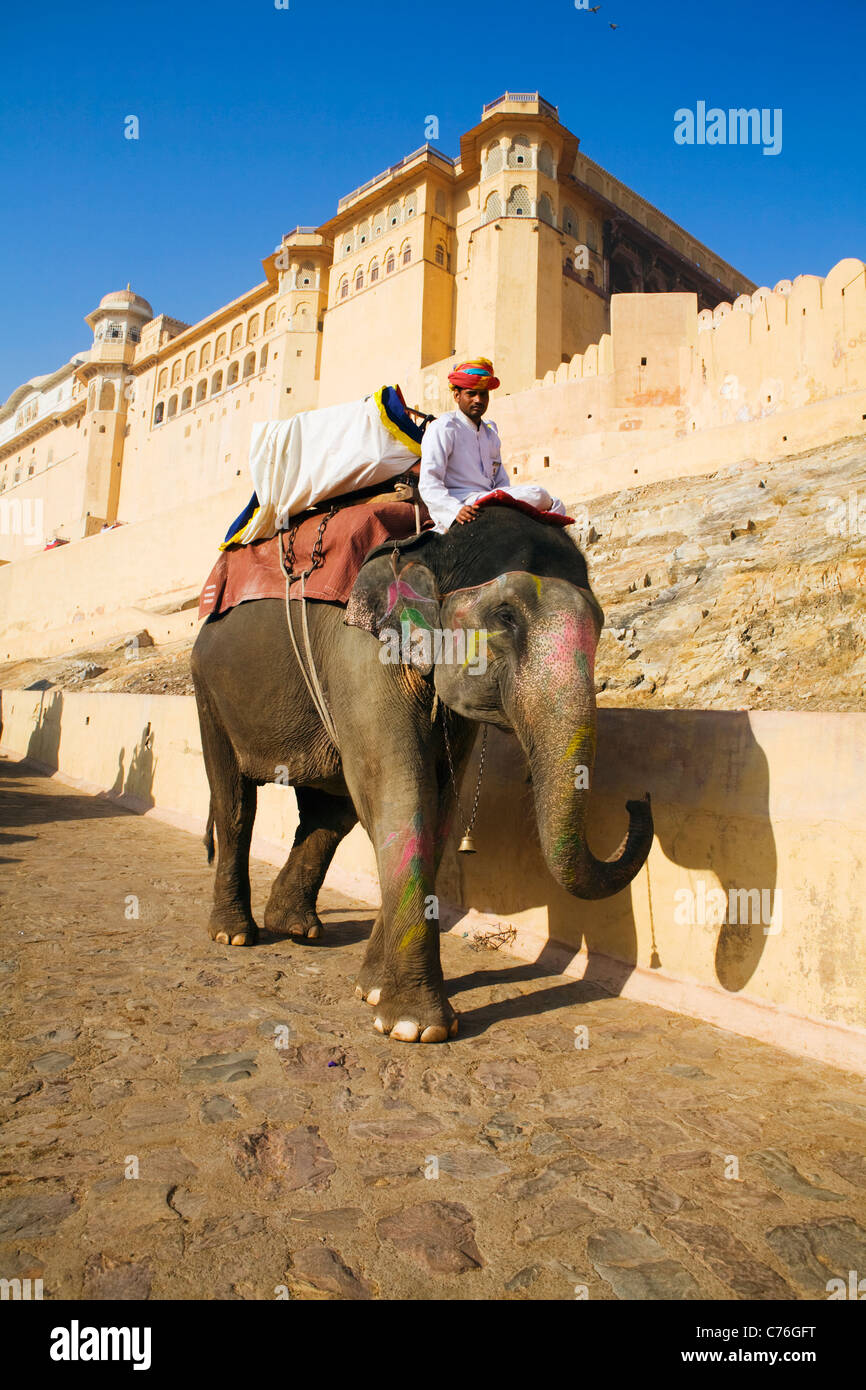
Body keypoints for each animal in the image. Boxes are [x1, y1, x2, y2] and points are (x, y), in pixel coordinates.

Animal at [190, 503, 653, 1043]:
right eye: (505, 617)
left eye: (599, 623)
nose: (638, 801)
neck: (430, 546)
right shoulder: (360, 655)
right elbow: (399, 793)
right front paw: (418, 1027)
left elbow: (439, 809)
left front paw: (372, 990)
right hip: (209, 690)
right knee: (236, 804)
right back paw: (233, 935)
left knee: (330, 815)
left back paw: (296, 929)